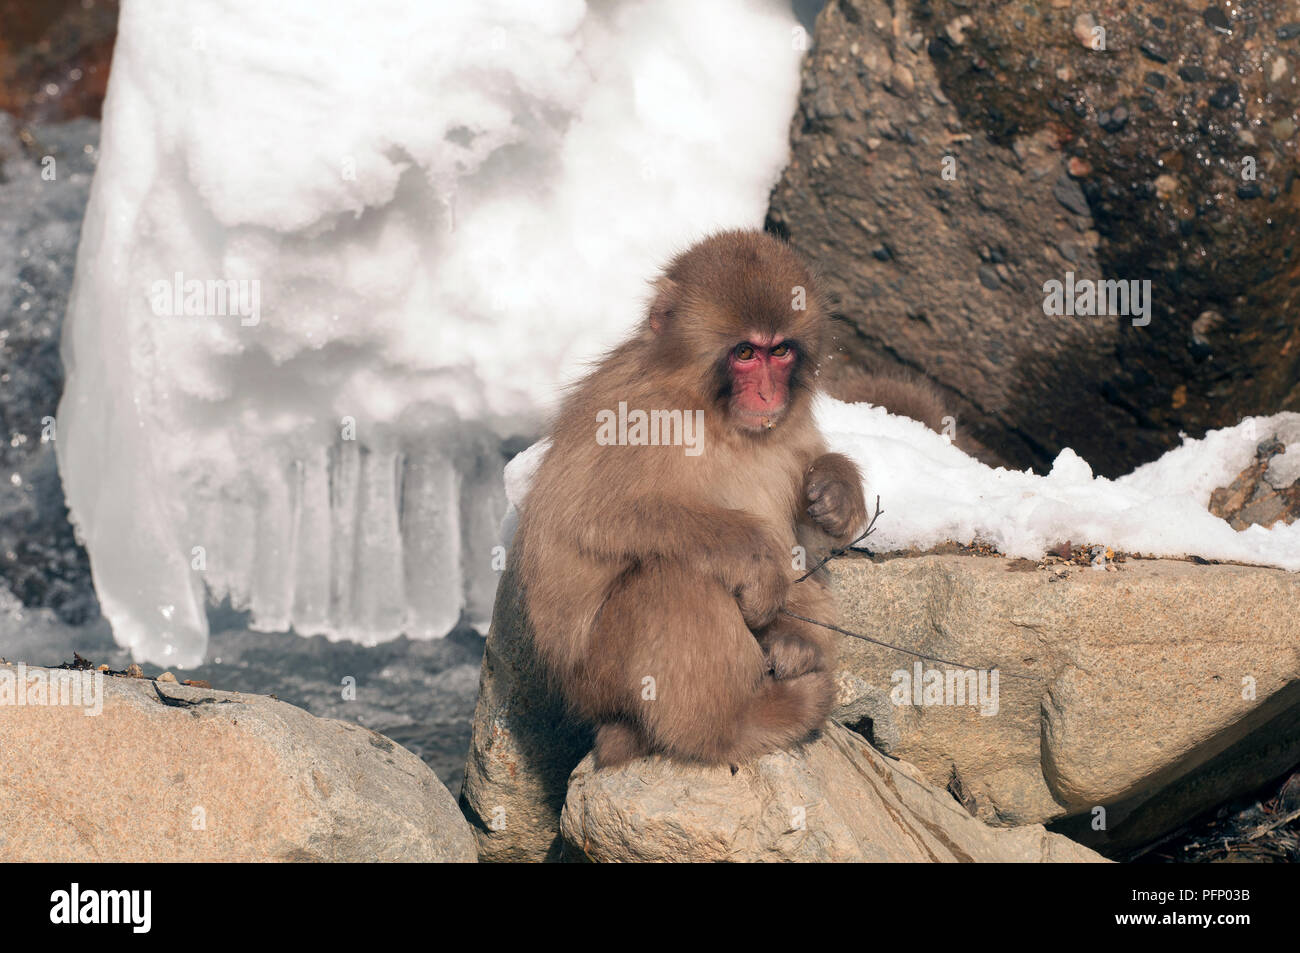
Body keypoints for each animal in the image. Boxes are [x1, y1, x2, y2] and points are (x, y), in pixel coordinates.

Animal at [515, 229, 867, 769]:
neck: (707, 410)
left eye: (780, 351)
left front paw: (835, 488)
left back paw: (795, 645)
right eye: (745, 353)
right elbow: (588, 515)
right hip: (600, 681)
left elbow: (805, 519)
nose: (767, 395)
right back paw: (735, 727)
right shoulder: (635, 413)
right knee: (675, 578)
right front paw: (756, 554)